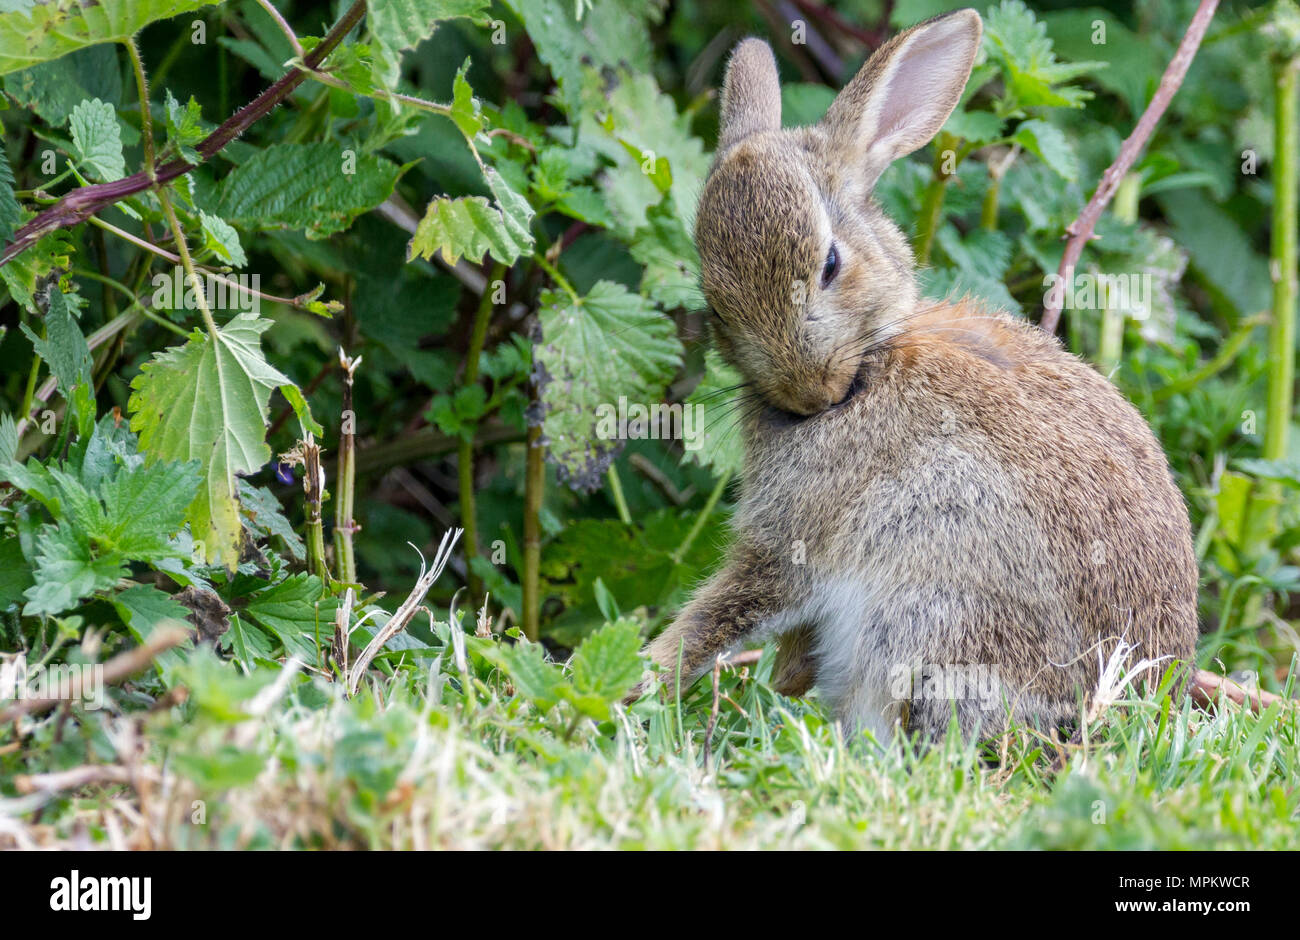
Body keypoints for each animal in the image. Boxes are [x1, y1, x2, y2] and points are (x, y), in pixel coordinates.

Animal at [643, 9, 1199, 742]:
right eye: (713, 302)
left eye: (830, 264)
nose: (808, 393)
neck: (871, 362)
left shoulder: (791, 543)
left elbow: (722, 614)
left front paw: (635, 680)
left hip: (928, 608)